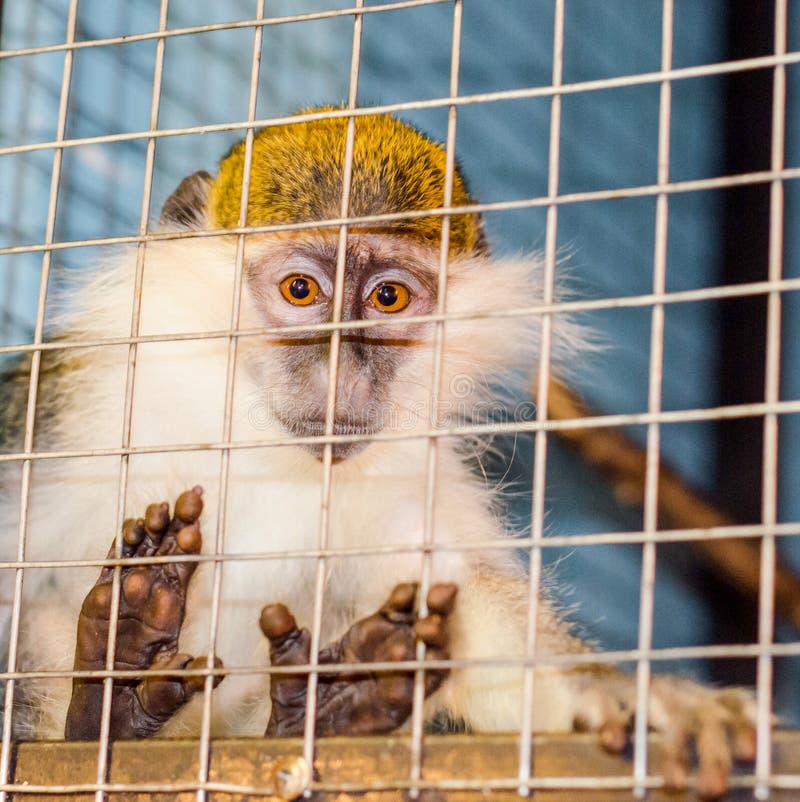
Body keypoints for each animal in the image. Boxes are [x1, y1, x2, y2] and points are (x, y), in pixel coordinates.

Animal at [0, 108, 757, 798]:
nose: (340, 367)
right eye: (301, 289)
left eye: (388, 296)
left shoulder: (413, 473)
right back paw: (111, 696)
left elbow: (469, 600)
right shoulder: (76, 407)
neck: (262, 444)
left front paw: (636, 698)